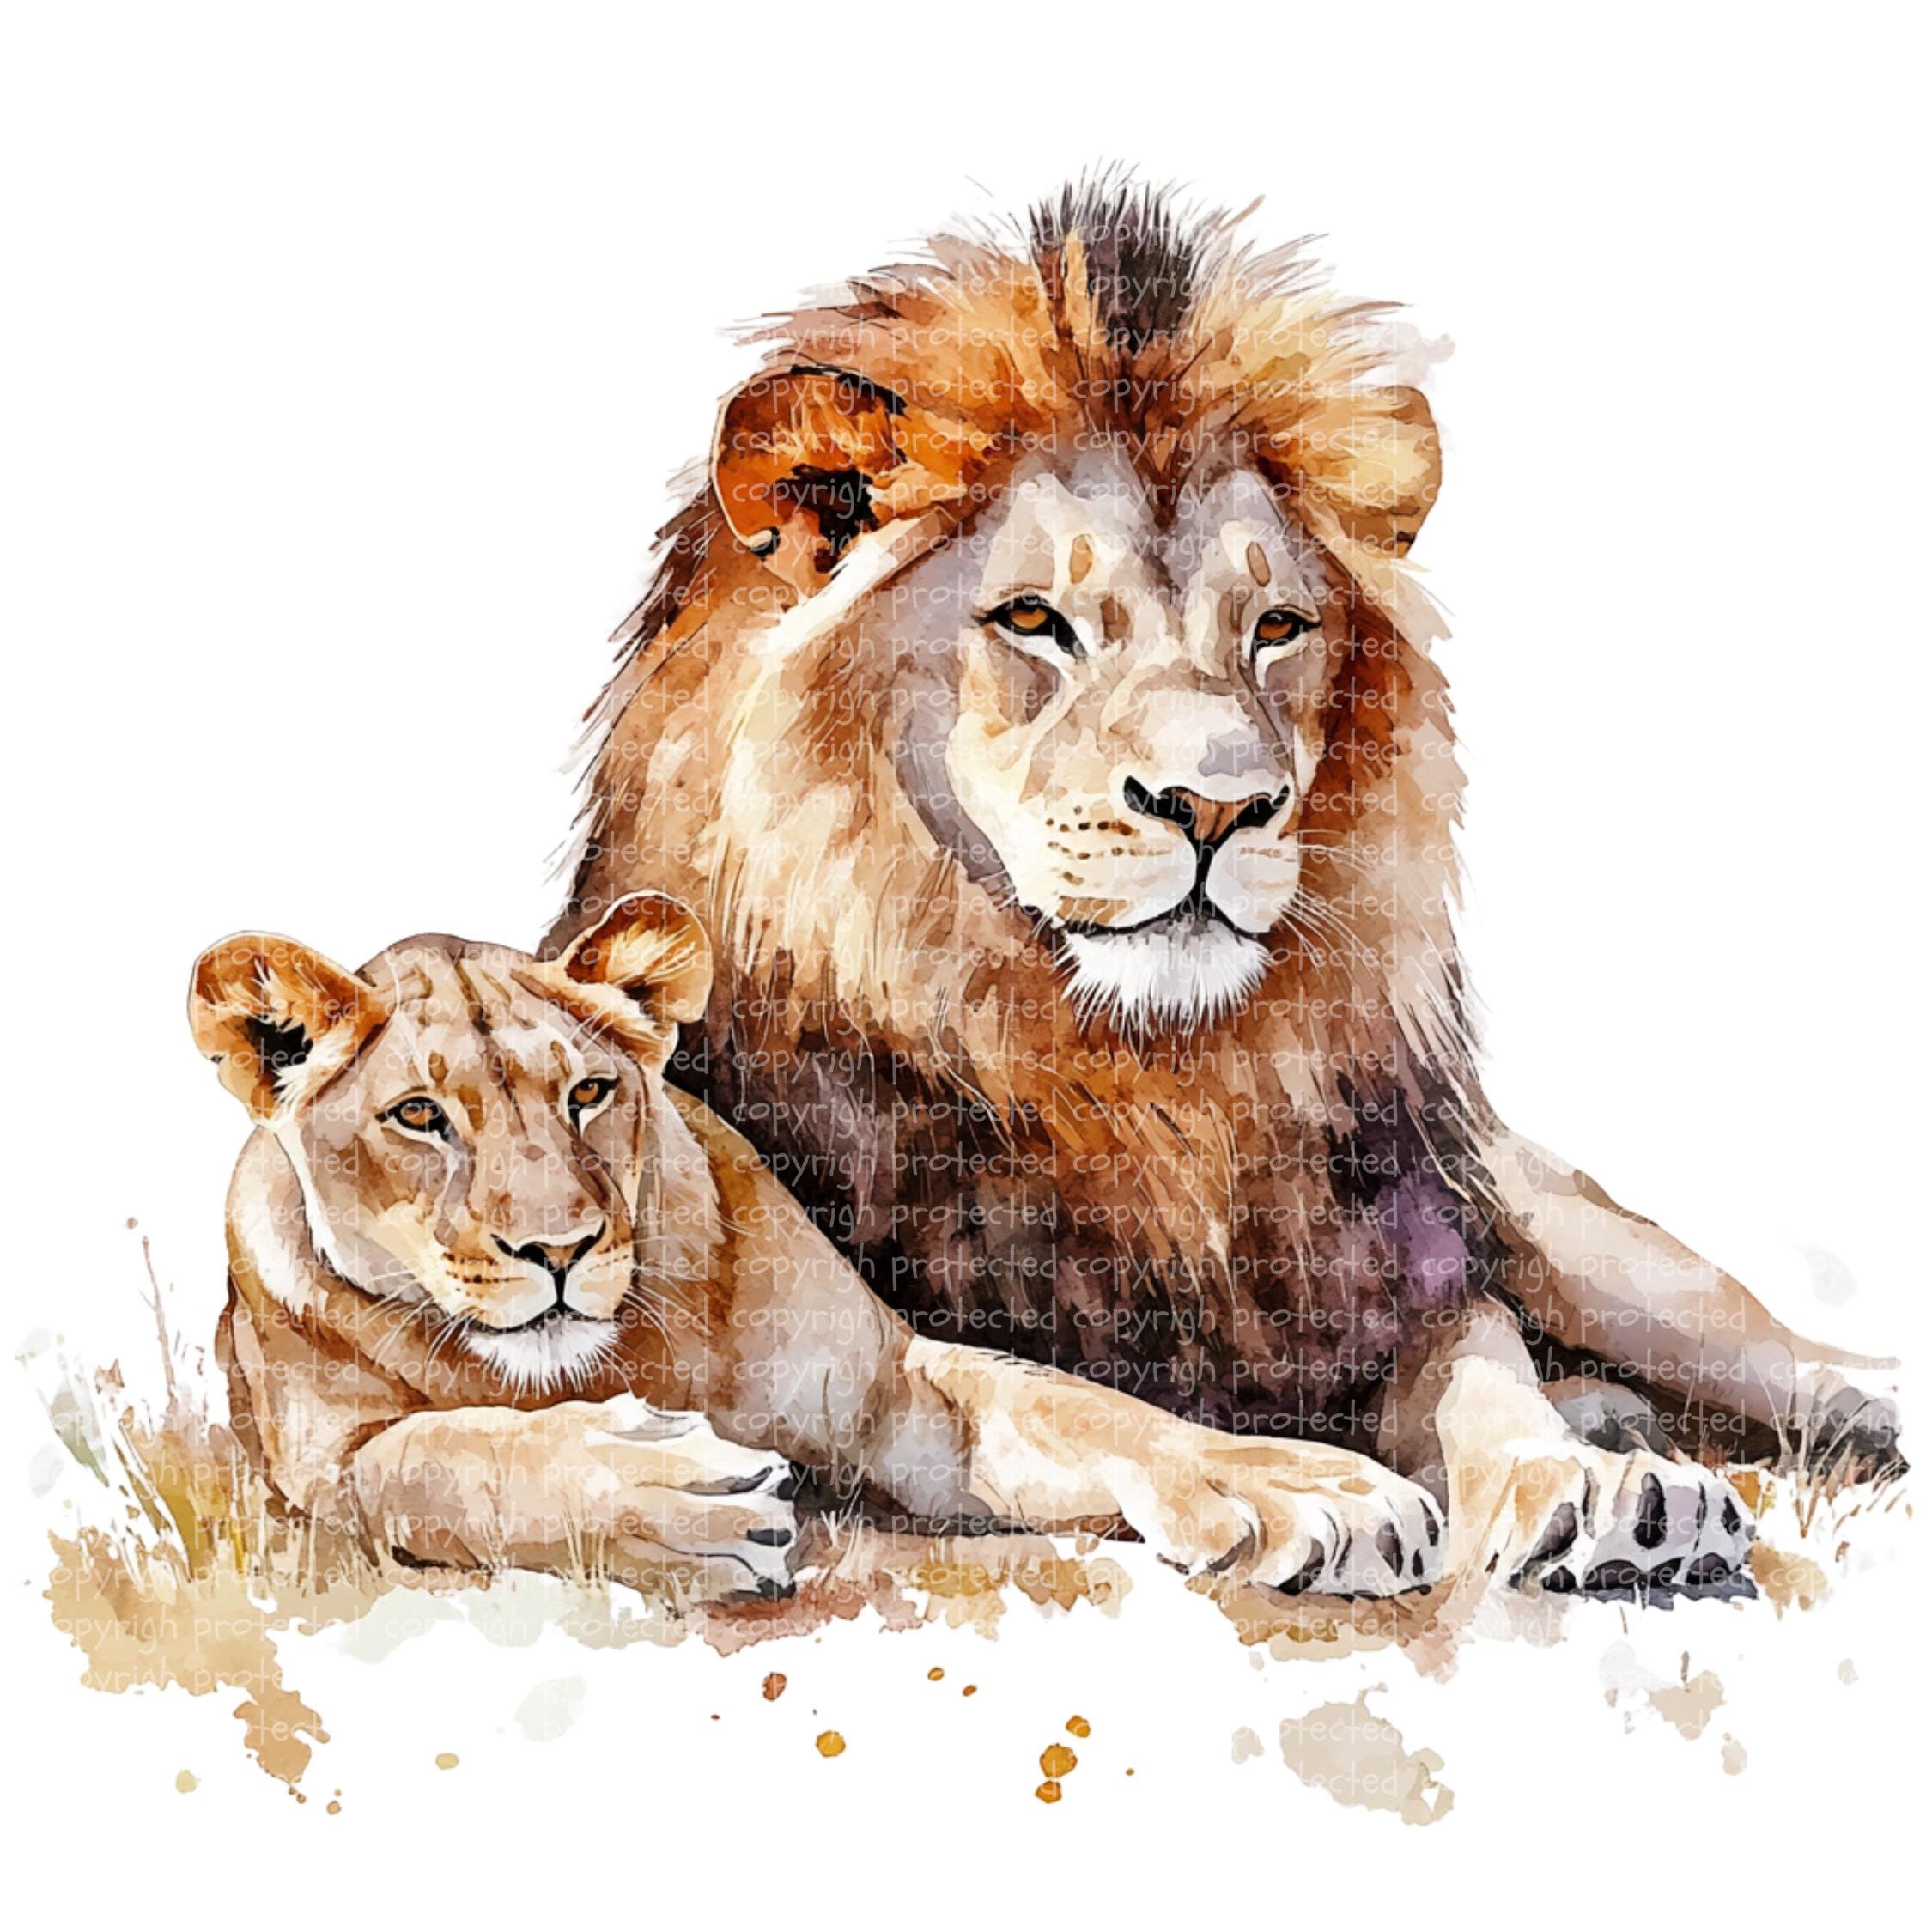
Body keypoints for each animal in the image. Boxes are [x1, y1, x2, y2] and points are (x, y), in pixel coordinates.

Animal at [190, 892, 1449, 1605]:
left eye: (589, 1092)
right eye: (418, 1117)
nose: (560, 1248)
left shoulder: (898, 1395)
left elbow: (1110, 1418)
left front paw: (1320, 1488)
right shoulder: (323, 1468)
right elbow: (452, 1459)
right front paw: (681, 1499)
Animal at [553, 178, 1900, 1595]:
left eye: (1276, 629)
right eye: (1032, 621)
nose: (1218, 805)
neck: (1141, 1083)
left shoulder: (1387, 1251)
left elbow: (1479, 1357)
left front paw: (1576, 1479)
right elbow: (1082, 1400)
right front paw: (1307, 1485)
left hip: (1580, 1236)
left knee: (1769, 1350)